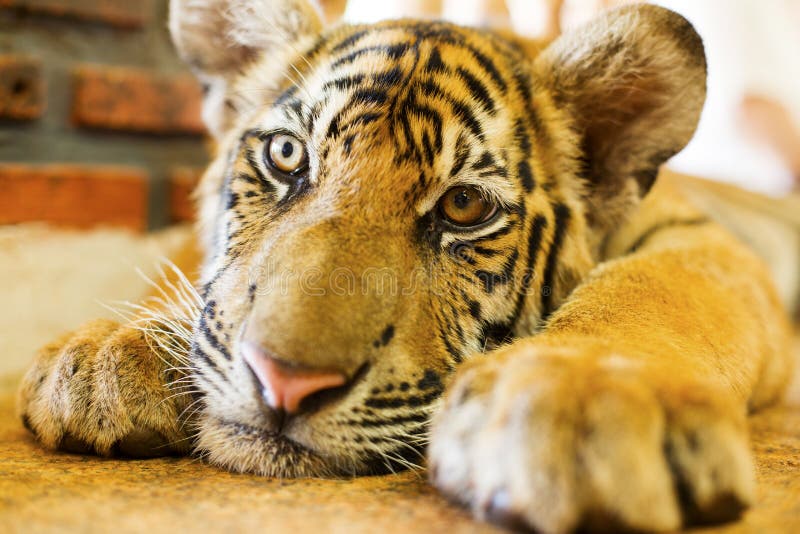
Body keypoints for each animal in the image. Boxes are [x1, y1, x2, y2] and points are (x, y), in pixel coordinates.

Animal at [16, 1, 796, 532]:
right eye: (287, 156)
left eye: (463, 206)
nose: (284, 384)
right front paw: (104, 357)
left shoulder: (705, 242)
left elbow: (655, 289)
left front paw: (575, 400)